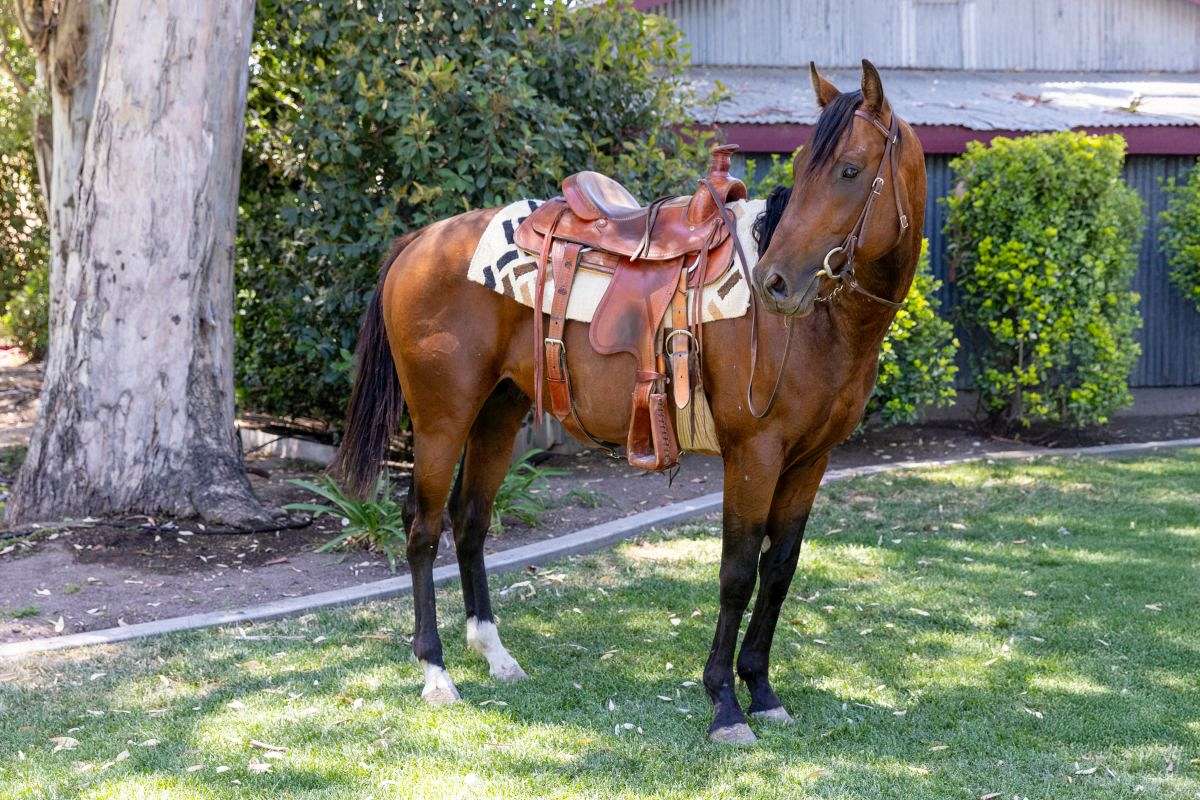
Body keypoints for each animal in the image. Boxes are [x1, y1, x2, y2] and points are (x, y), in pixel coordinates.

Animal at [333, 60, 926, 744]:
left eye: (850, 171)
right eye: (803, 167)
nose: (776, 283)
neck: (818, 328)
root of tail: (421, 240)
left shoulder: (810, 460)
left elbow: (779, 569)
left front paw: (762, 690)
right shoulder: (754, 455)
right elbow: (737, 571)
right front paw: (725, 704)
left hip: (499, 412)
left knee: (471, 518)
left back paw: (495, 653)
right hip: (441, 419)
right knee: (423, 527)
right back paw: (436, 672)